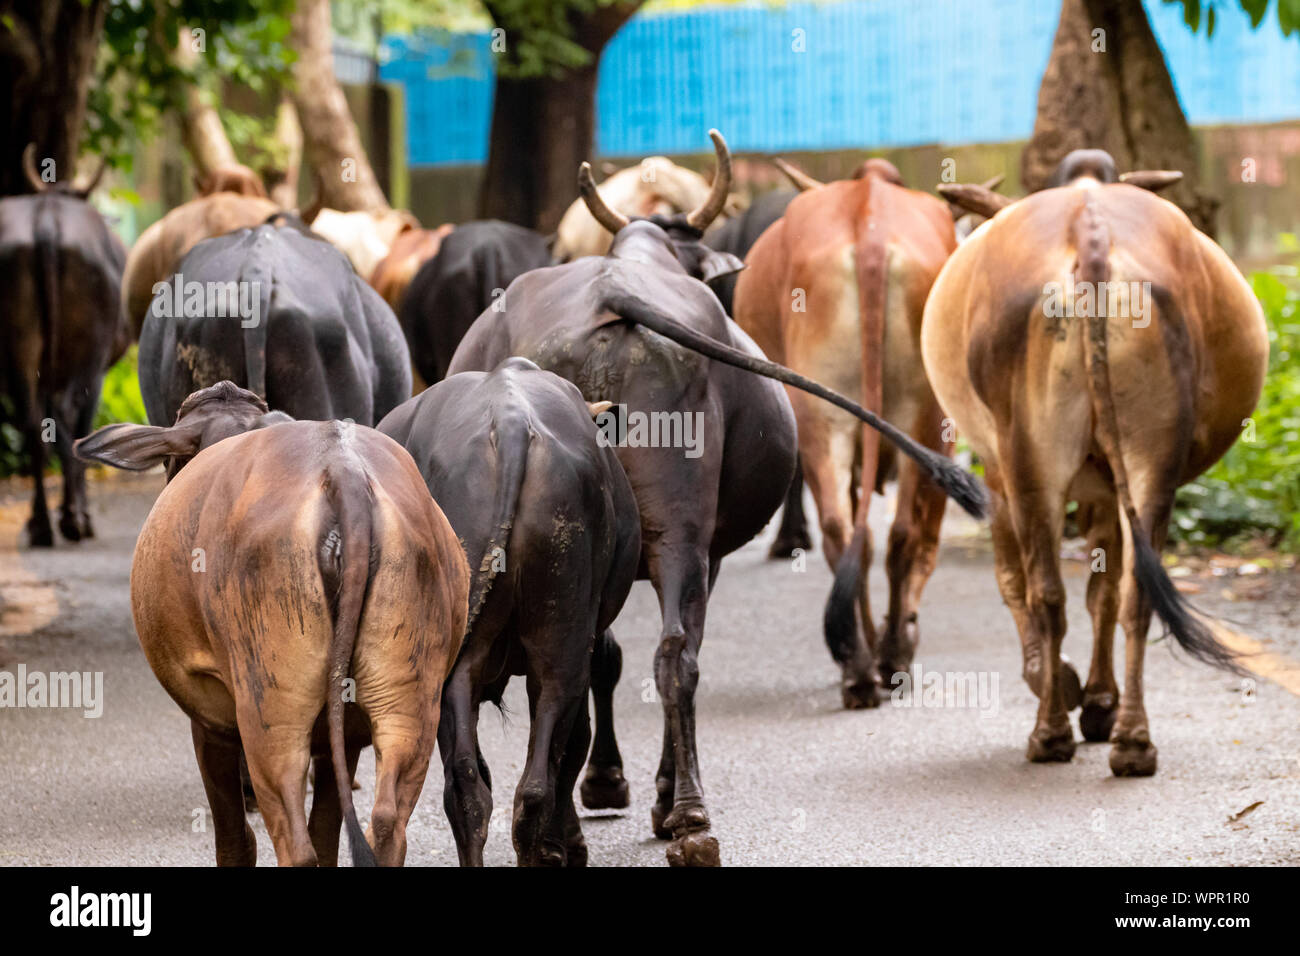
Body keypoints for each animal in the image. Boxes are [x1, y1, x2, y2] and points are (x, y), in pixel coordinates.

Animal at [0, 145, 123, 547]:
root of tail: (48, 219)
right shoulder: (99, 376)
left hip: (19, 349)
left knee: (31, 421)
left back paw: (41, 523)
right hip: (85, 355)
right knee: (67, 417)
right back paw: (72, 520)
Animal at [74, 381, 469, 865]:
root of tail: (343, 472)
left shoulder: (210, 718)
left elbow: (235, 837)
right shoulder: (346, 736)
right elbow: (327, 826)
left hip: (270, 709)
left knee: (295, 843)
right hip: (409, 698)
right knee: (386, 824)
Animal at [732, 157, 961, 710]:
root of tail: (869, 219)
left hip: (825, 416)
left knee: (847, 528)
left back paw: (860, 667)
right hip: (917, 415)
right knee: (895, 533)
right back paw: (889, 656)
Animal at [923, 149, 1266, 776]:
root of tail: (1089, 225)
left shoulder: (997, 476)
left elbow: (1017, 583)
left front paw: (1061, 682)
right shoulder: (1108, 491)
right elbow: (1103, 592)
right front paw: (1099, 700)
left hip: (1029, 464)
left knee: (1046, 593)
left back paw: (1050, 731)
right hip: (1151, 464)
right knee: (1135, 593)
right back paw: (1132, 739)